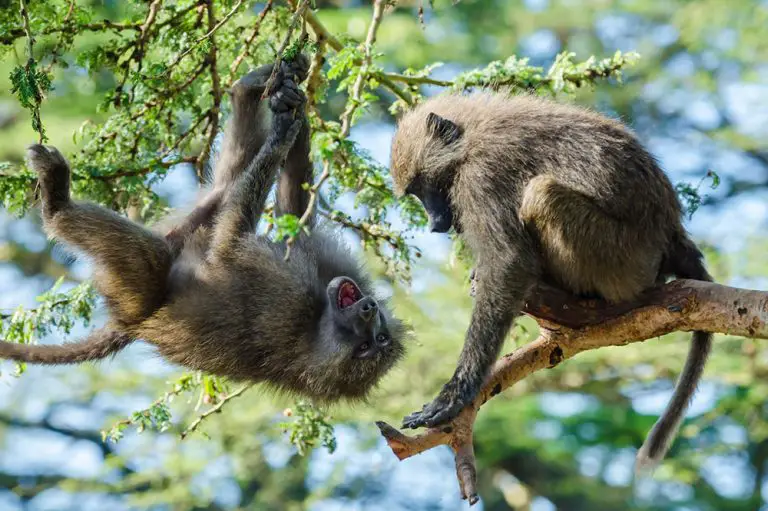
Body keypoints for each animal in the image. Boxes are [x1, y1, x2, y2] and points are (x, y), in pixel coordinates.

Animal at [0, 57, 406, 403]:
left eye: (370, 345)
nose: (369, 307)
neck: (316, 324)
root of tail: (128, 325)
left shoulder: (282, 304)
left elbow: (230, 241)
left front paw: (280, 135)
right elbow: (294, 213)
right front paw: (292, 102)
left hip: (135, 292)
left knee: (156, 252)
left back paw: (56, 200)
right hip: (185, 232)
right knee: (221, 191)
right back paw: (250, 87)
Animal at [389, 90, 713, 470]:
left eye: (428, 187)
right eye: (417, 192)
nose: (434, 224)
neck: (470, 137)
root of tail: (670, 234)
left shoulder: (481, 177)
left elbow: (509, 263)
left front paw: (455, 395)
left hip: (621, 260)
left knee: (541, 192)